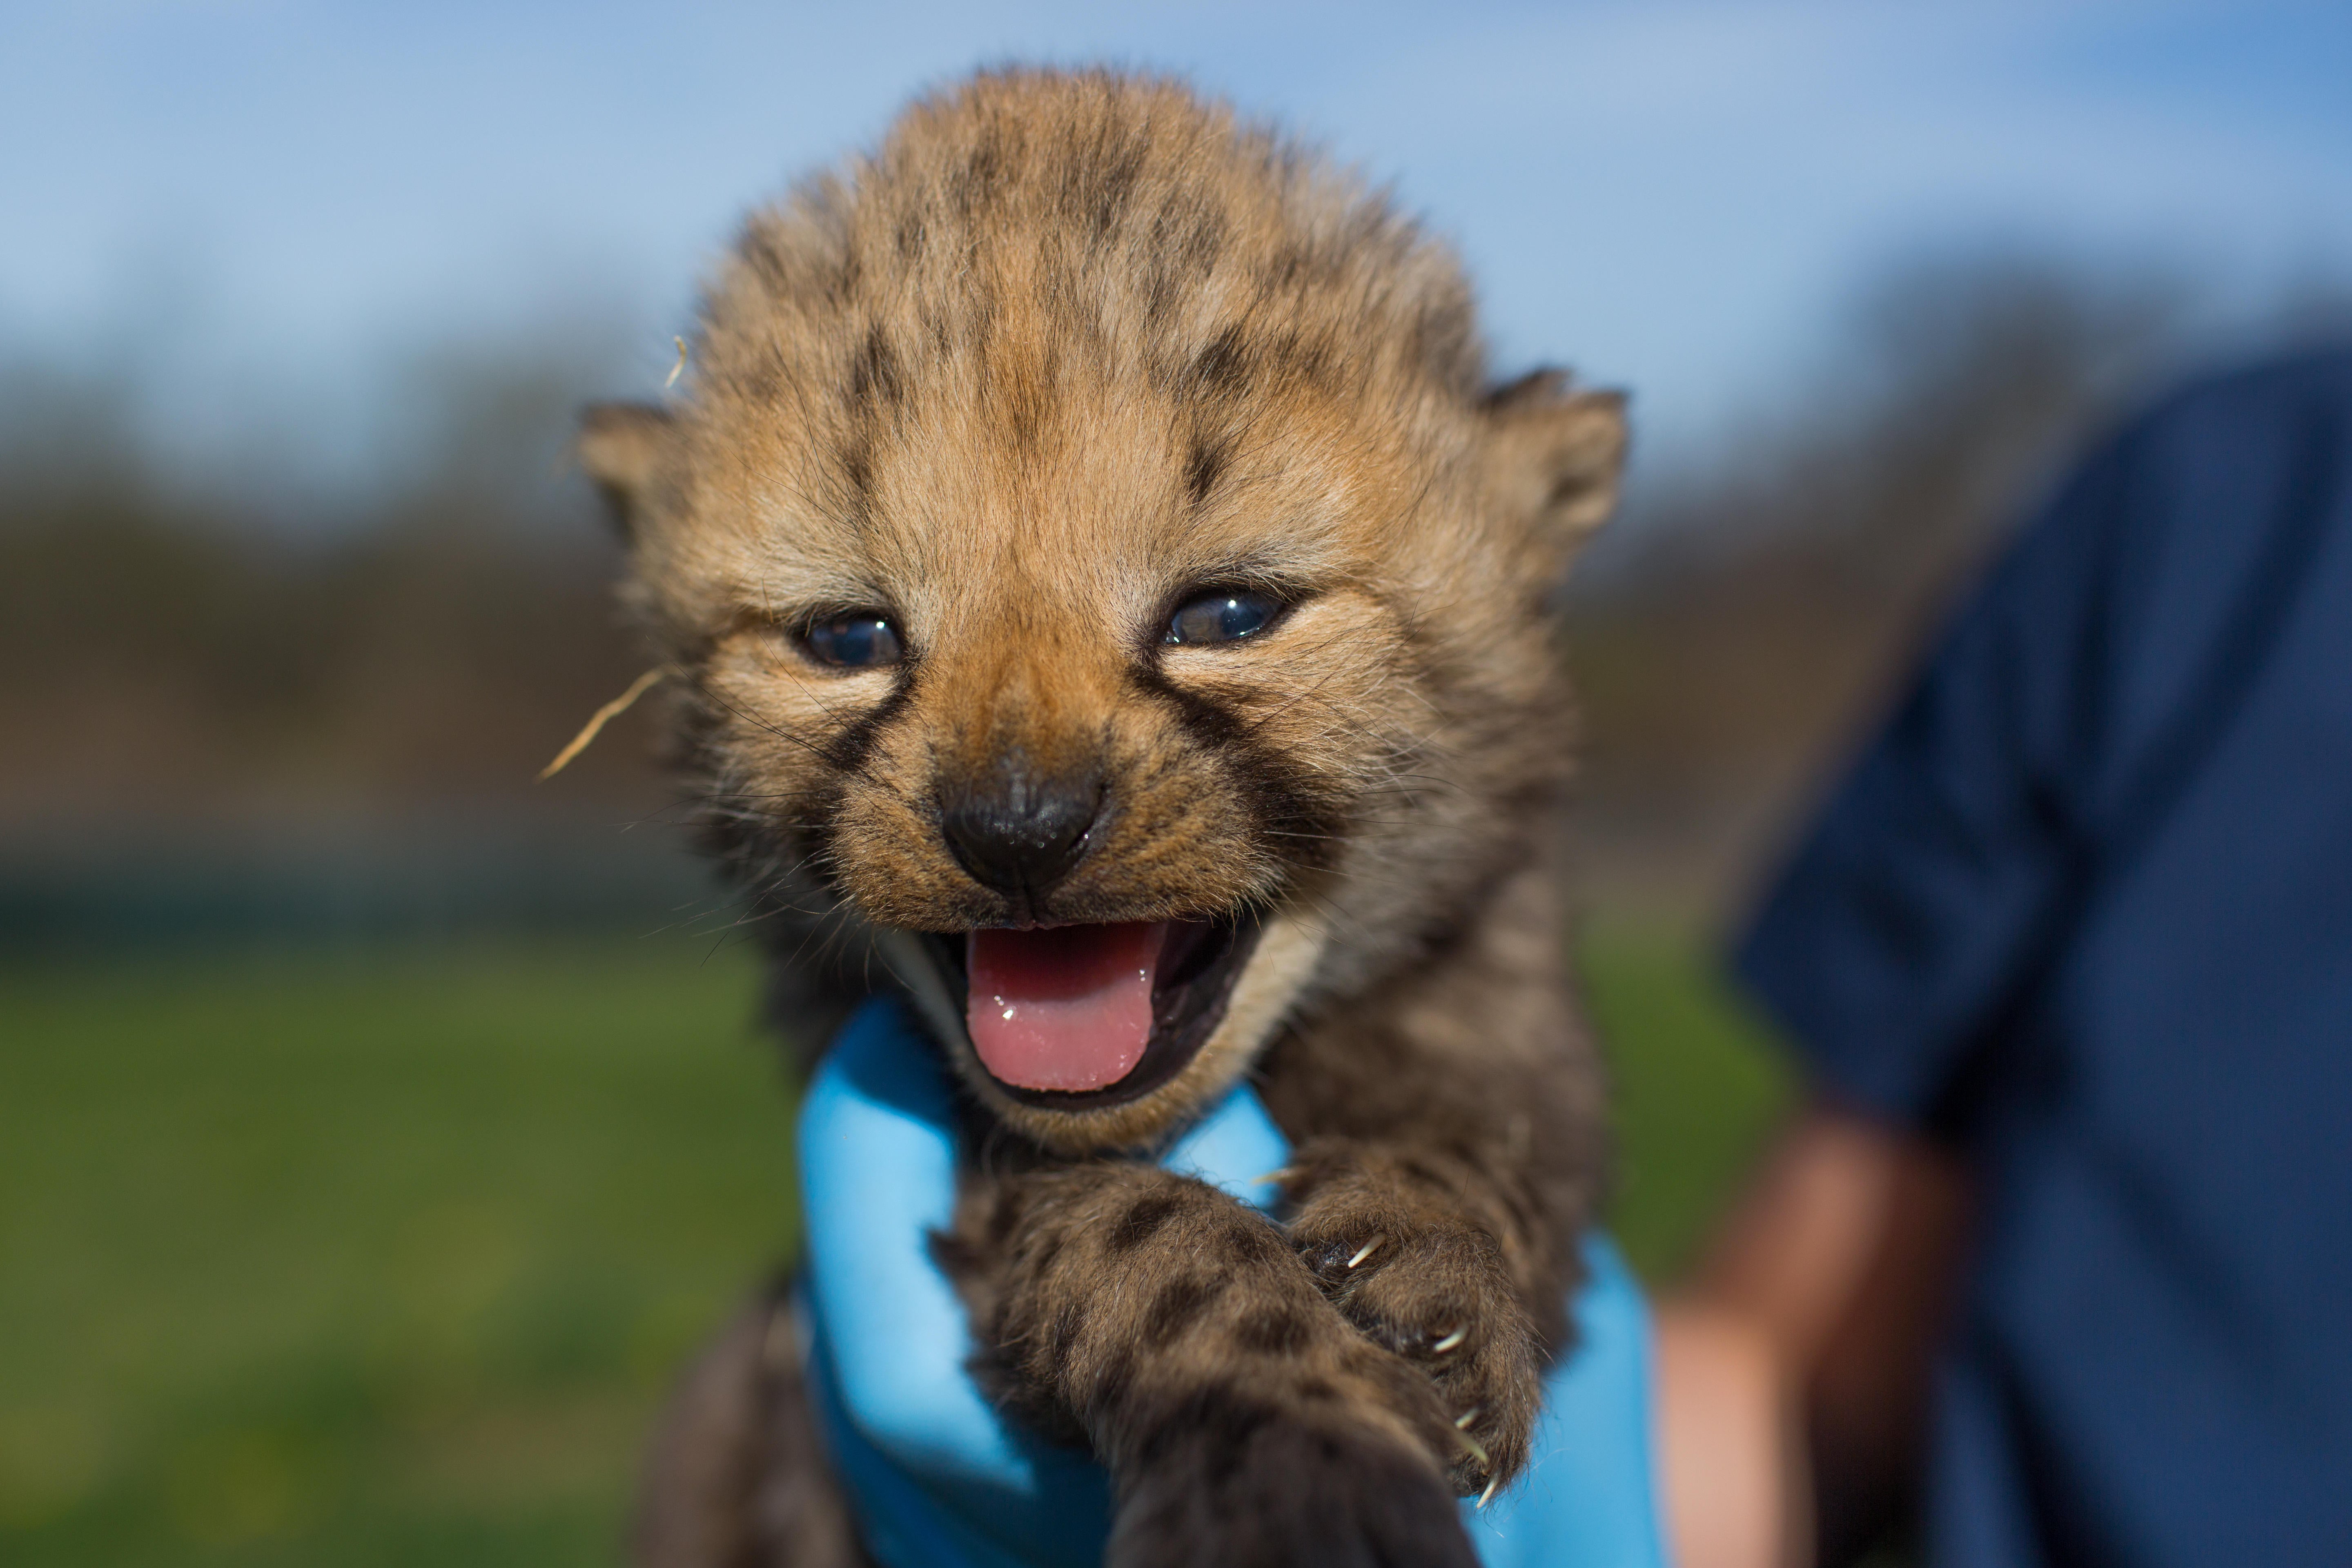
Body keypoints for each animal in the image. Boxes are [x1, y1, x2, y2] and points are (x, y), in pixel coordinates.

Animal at [576, 65, 1625, 1568]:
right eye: (848, 636)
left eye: (1227, 614)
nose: (1019, 830)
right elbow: (1162, 1245)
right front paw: (1306, 1475)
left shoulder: (1512, 1015)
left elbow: (1495, 1138)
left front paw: (1426, 1252)